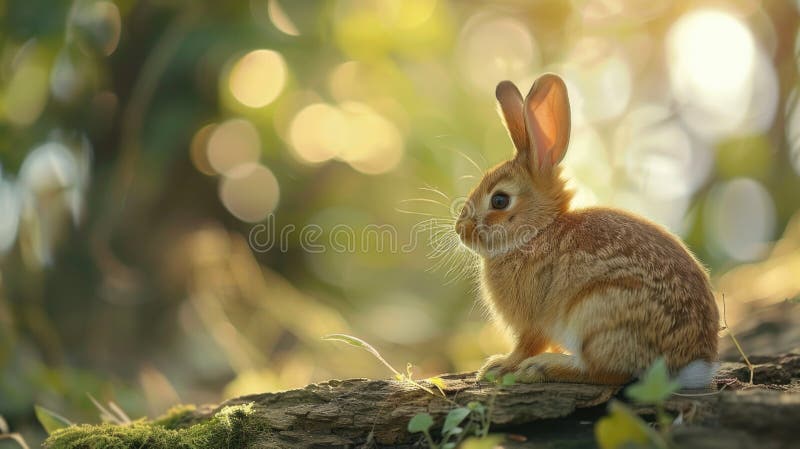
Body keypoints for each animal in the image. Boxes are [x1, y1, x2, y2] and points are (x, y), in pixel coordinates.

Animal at [454, 74, 720, 387]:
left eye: (499, 200)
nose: (460, 230)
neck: (539, 230)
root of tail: (690, 366)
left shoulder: (534, 321)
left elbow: (526, 345)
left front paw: (500, 366)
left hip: (596, 311)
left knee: (605, 372)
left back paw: (543, 367)